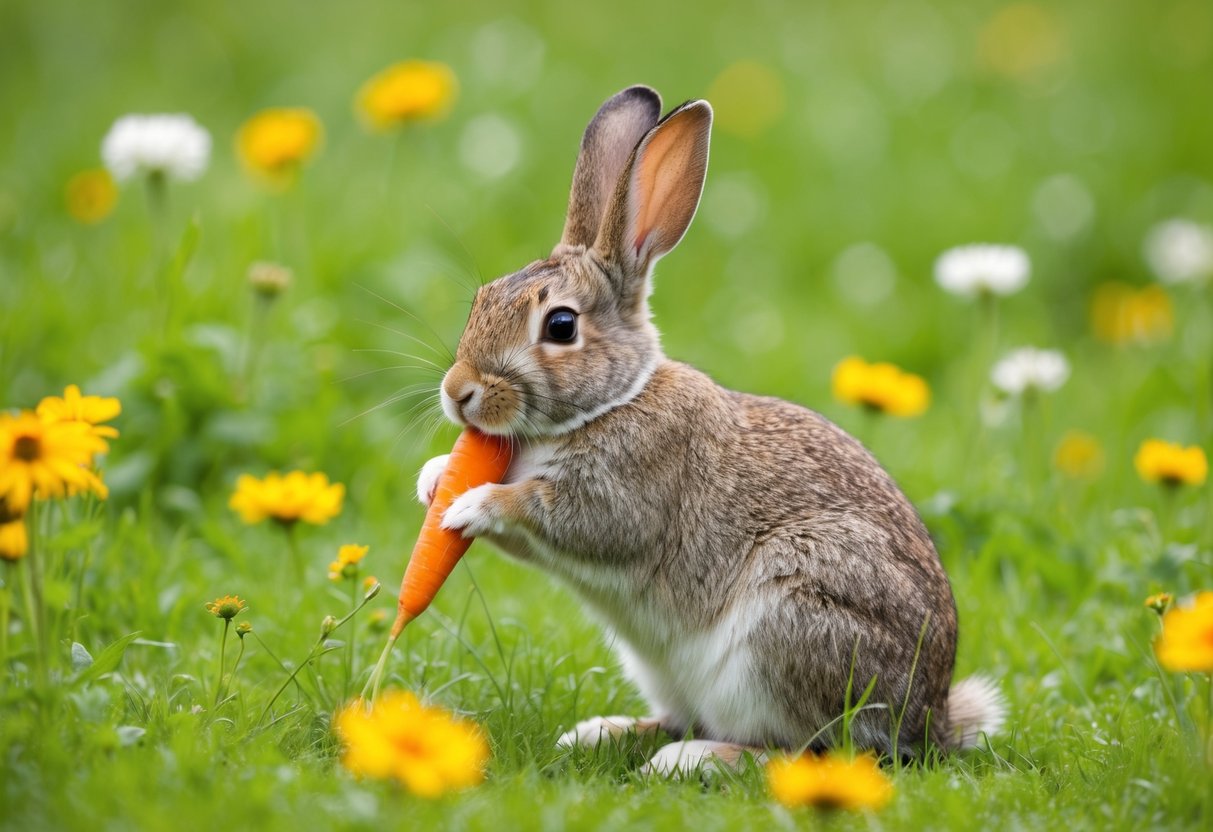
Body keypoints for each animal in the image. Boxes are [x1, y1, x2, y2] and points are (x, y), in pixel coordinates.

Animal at [417, 85, 1006, 775]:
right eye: (481, 299)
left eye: (560, 326)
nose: (458, 393)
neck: (610, 402)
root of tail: (928, 721)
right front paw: (434, 479)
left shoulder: (624, 494)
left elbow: (560, 514)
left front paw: (471, 502)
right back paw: (601, 733)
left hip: (791, 624)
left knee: (810, 751)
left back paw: (693, 760)